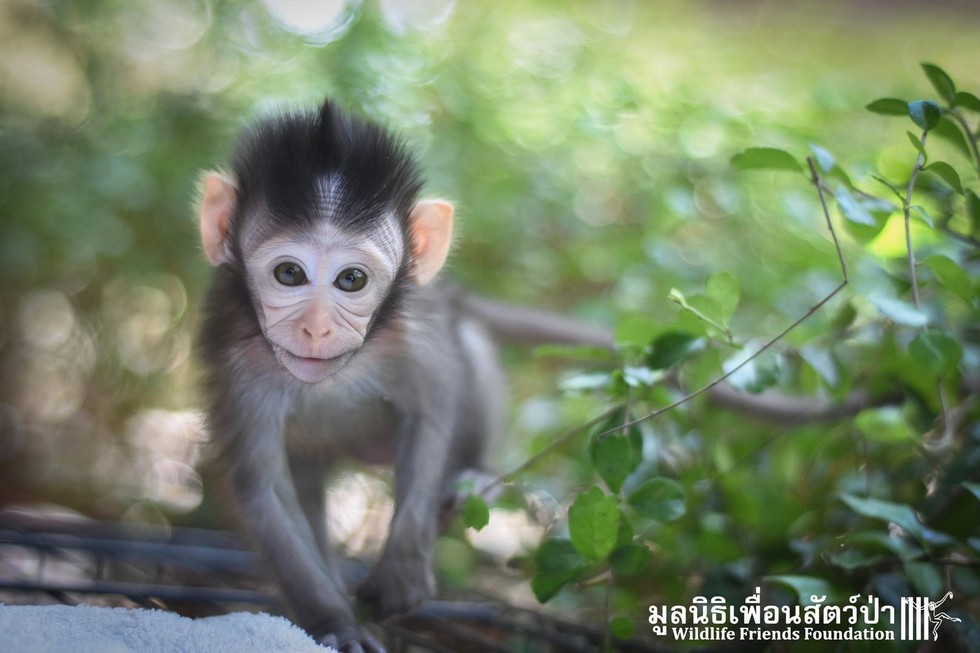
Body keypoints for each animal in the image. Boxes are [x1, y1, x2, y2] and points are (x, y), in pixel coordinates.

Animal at [196, 99, 612, 653]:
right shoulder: (239, 363)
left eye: (352, 279)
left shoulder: (412, 337)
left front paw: (403, 570)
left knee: (468, 345)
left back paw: (474, 473)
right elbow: (264, 489)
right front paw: (337, 624)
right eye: (289, 274)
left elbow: (430, 415)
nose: (316, 327)